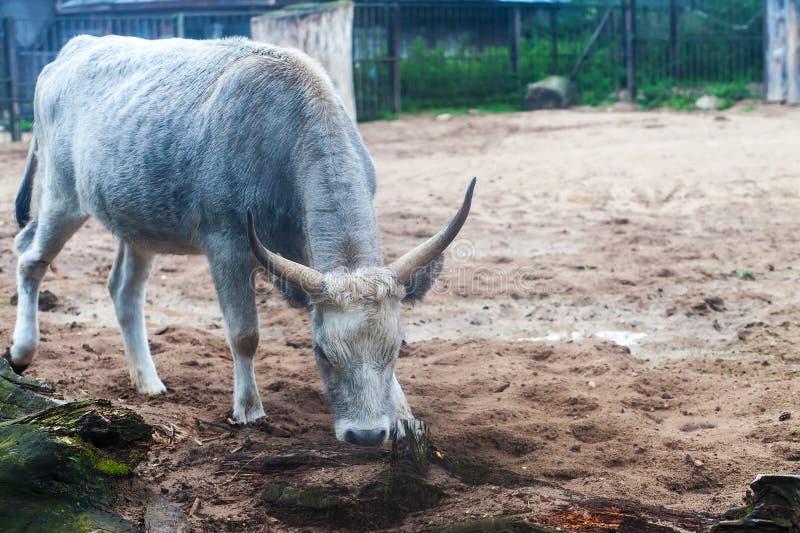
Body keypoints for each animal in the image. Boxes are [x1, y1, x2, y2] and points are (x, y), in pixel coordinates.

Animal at [8, 35, 475, 447]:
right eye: (321, 352)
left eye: (397, 348)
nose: (365, 435)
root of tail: (70, 51)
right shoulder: (226, 244)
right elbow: (244, 333)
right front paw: (249, 409)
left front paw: (402, 414)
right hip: (62, 196)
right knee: (30, 257)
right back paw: (22, 351)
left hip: (139, 224)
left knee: (124, 289)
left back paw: (149, 381)